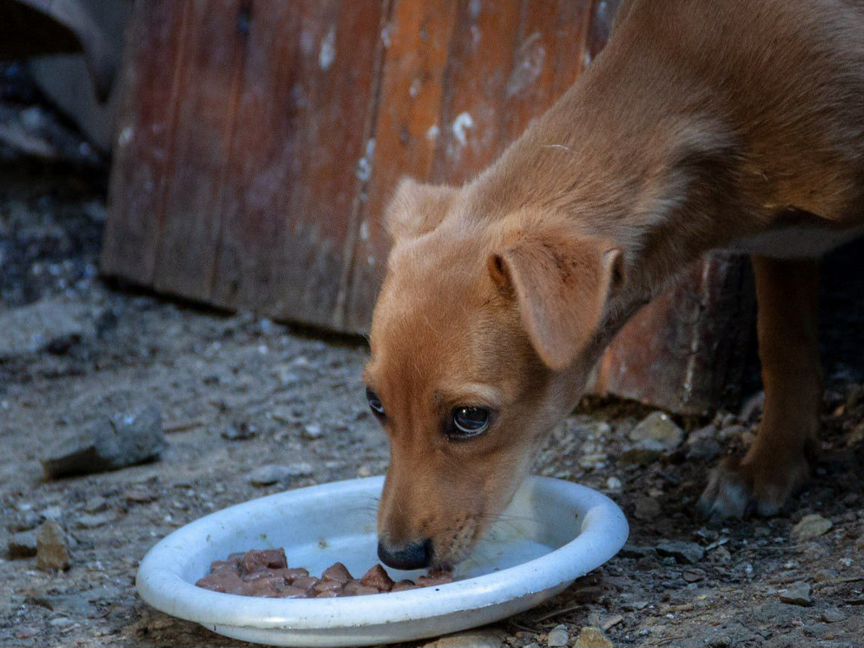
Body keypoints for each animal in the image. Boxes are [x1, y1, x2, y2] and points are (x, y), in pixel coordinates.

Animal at [364, 0, 864, 568]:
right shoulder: (783, 246)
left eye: (470, 417)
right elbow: (783, 346)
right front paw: (769, 469)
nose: (397, 557)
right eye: (374, 403)